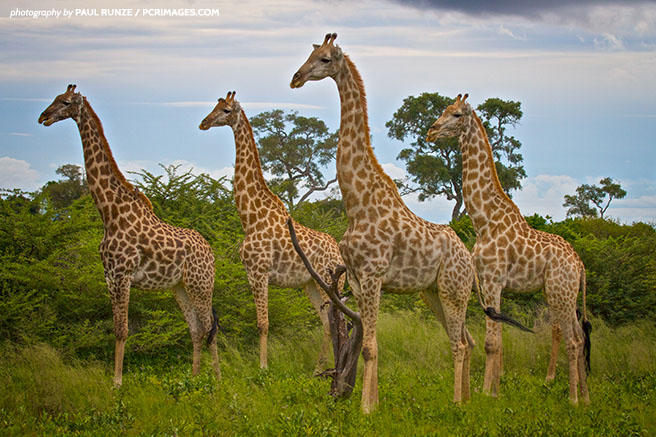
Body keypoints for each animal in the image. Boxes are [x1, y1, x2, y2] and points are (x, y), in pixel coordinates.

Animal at [39, 84, 220, 386]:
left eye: (64, 102)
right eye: (53, 98)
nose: (43, 117)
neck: (109, 212)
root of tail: (210, 250)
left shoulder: (123, 274)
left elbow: (123, 330)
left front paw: (117, 383)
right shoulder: (109, 275)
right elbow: (116, 329)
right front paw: (116, 380)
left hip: (201, 283)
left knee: (209, 325)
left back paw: (216, 378)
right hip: (179, 286)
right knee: (196, 327)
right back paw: (194, 378)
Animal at [199, 91, 344, 372]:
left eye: (226, 110)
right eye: (214, 105)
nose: (204, 123)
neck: (250, 217)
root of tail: (340, 254)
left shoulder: (260, 272)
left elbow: (263, 324)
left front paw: (263, 368)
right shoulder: (250, 274)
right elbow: (261, 323)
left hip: (330, 283)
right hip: (311, 284)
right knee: (327, 322)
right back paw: (319, 368)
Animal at [291, 33, 476, 412]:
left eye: (326, 59)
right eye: (311, 53)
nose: (296, 78)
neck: (357, 203)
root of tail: (469, 257)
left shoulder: (374, 275)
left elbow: (371, 347)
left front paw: (365, 409)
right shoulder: (358, 280)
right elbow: (369, 346)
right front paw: (371, 404)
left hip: (454, 289)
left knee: (461, 343)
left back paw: (456, 405)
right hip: (433, 293)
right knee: (464, 338)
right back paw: (465, 400)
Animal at [426, 94, 591, 404]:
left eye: (456, 115)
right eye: (443, 110)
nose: (431, 131)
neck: (484, 220)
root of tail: (579, 264)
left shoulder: (492, 279)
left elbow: (492, 342)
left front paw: (485, 394)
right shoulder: (489, 283)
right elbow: (499, 340)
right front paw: (493, 390)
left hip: (560, 293)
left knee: (574, 339)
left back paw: (573, 399)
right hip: (562, 293)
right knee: (578, 335)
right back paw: (586, 398)